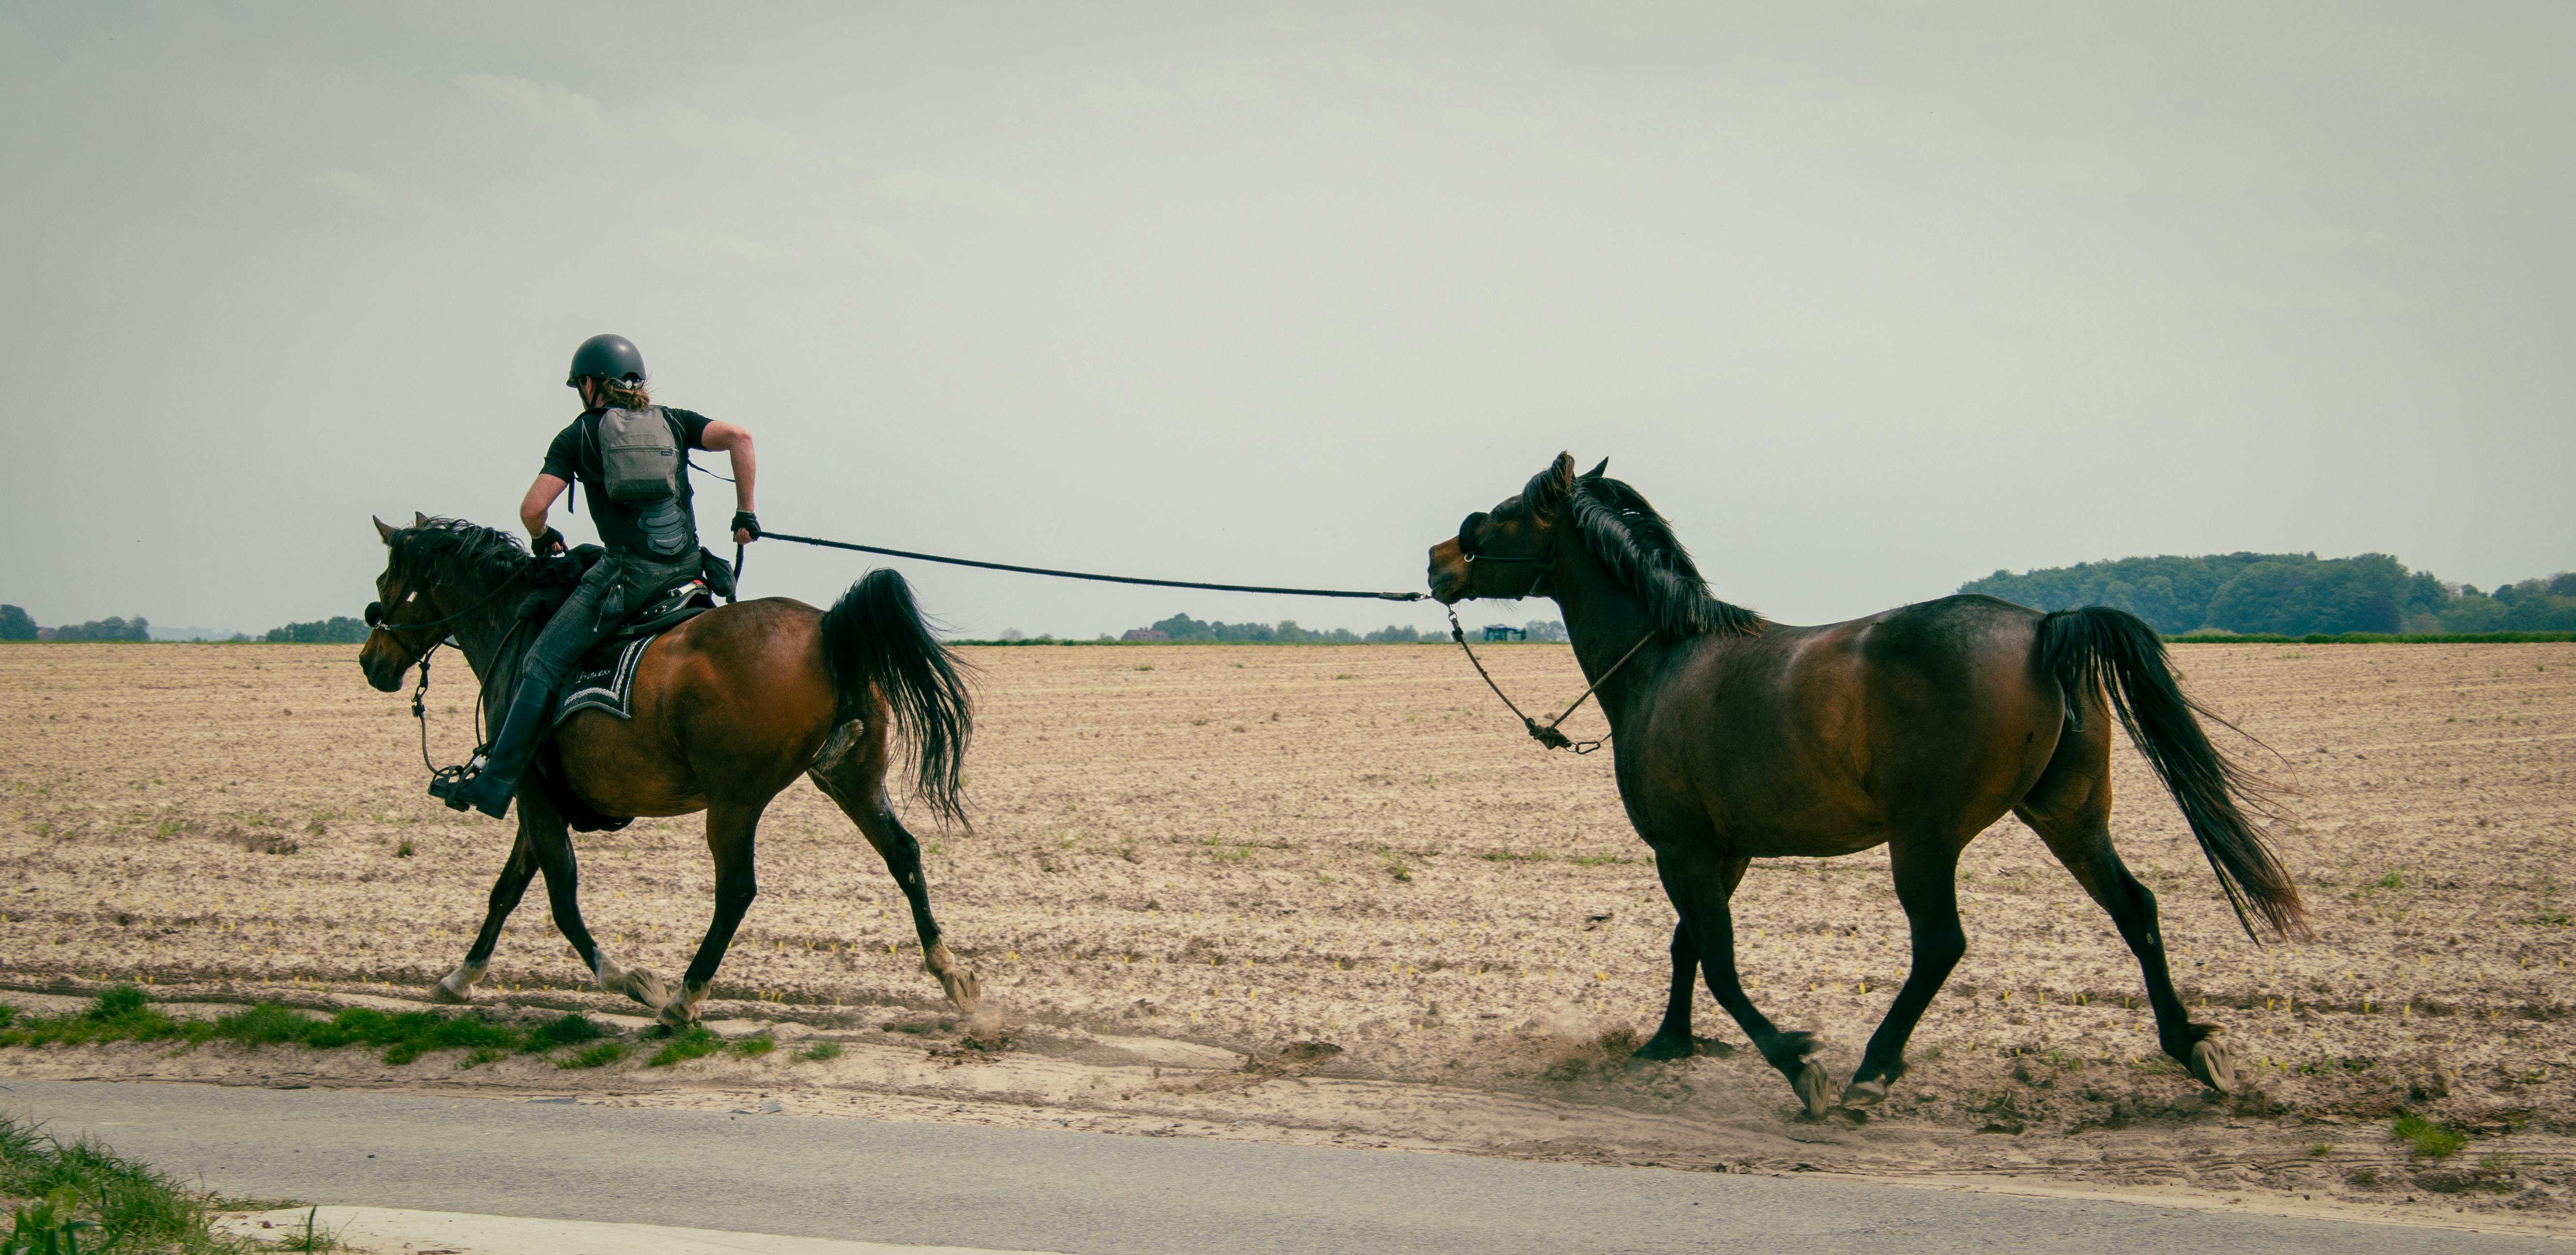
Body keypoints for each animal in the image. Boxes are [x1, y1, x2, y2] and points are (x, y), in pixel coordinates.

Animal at [357, 514, 981, 1030]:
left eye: (384, 583)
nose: (369, 661)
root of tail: (829, 627)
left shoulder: (530, 794)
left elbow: (561, 897)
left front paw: (628, 979)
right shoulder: (541, 801)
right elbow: (506, 890)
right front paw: (460, 977)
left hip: (735, 803)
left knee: (736, 891)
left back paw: (685, 997)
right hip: (851, 779)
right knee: (903, 853)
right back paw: (952, 974)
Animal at [1427, 455, 2306, 1117]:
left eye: (1503, 513)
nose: (1438, 560)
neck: (1665, 659)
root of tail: (2041, 627)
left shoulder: (1681, 849)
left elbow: (1718, 960)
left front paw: (1795, 1060)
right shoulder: (1722, 851)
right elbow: (1690, 947)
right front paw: (1668, 1042)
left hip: (1925, 839)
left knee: (1941, 943)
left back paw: (1872, 1068)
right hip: (2069, 817)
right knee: (2135, 909)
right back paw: (2191, 1045)